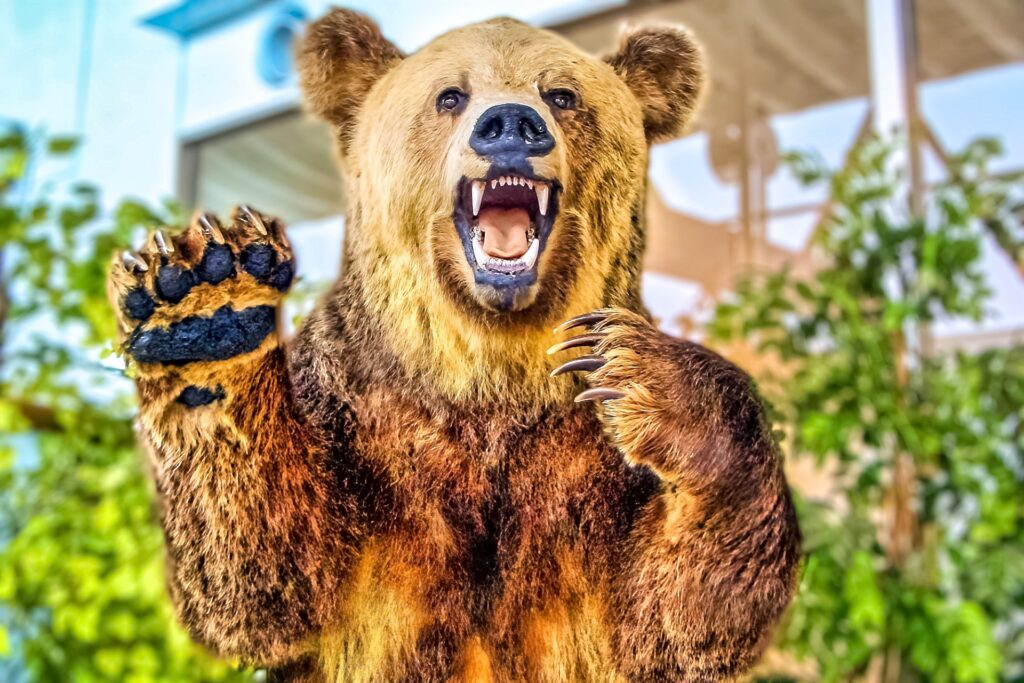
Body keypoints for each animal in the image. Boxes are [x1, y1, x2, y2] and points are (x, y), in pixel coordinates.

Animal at [107, 8, 800, 682]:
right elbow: (269, 579)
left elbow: (677, 613)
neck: (485, 365)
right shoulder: (358, 412)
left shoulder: (584, 468)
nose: (512, 125)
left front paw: (642, 372)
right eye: (450, 95)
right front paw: (205, 305)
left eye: (562, 94)